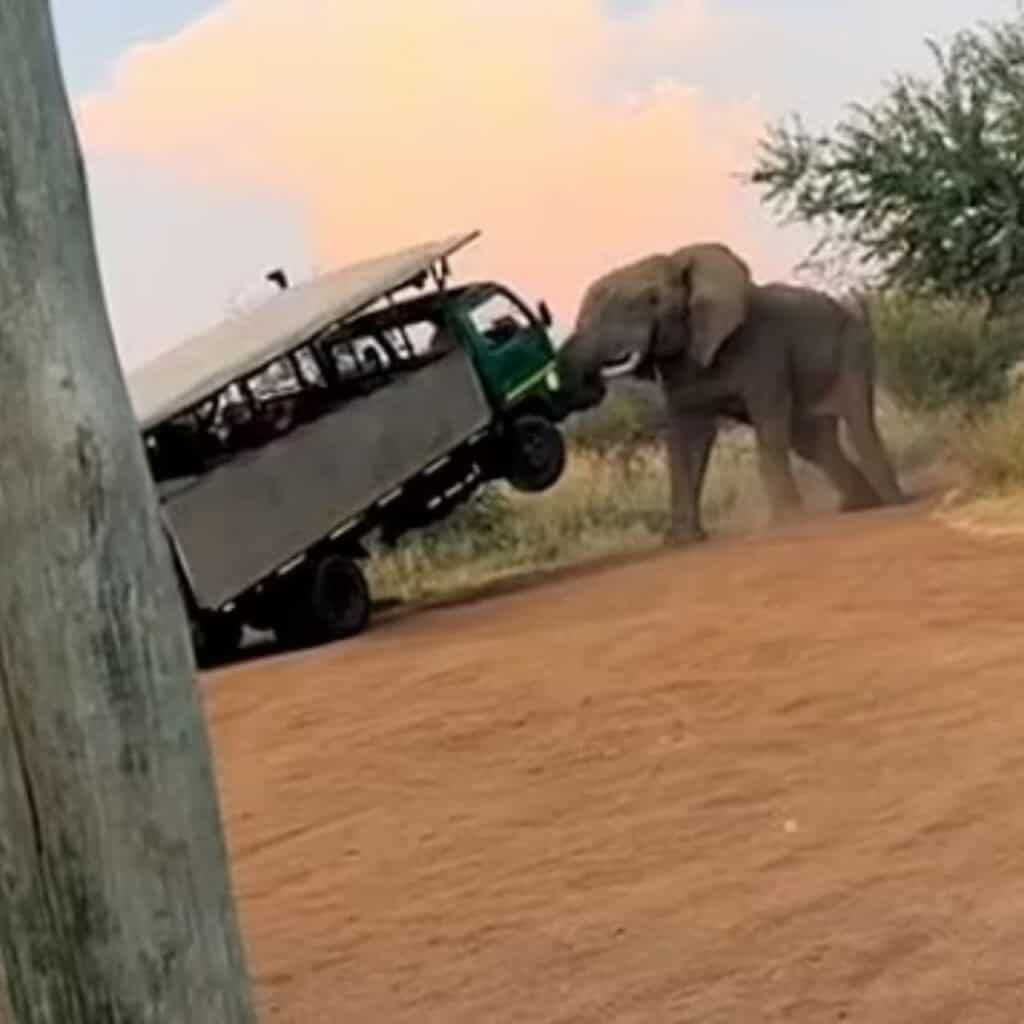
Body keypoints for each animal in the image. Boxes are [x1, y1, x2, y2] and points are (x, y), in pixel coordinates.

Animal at [557, 242, 906, 545]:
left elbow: (768, 420)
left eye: (653, 300)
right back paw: (859, 505)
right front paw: (682, 541)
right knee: (812, 440)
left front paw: (786, 521)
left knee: (855, 420)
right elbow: (688, 438)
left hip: (852, 347)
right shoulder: (682, 371)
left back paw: (889, 502)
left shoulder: (765, 349)